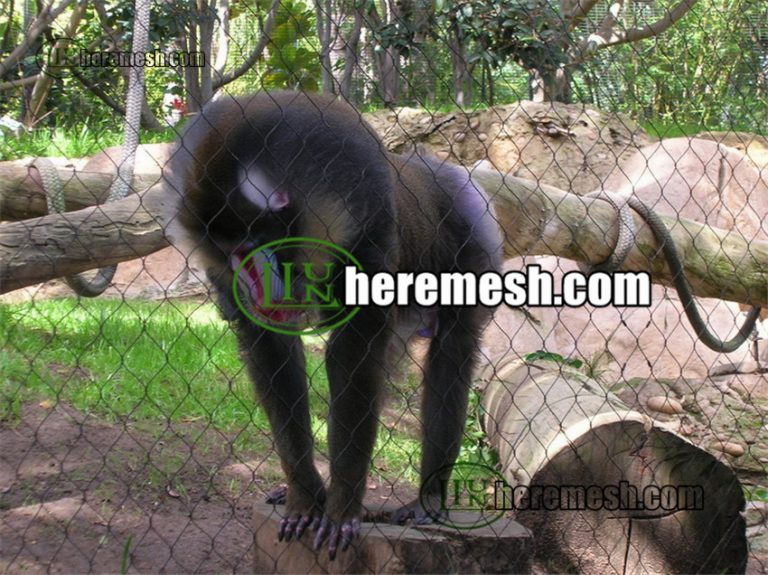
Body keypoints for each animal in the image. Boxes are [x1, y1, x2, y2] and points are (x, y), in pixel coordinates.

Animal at [166, 91, 503, 559]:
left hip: (470, 245)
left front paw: (341, 512)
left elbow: (354, 352)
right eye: (228, 252)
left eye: (254, 245)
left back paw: (428, 499)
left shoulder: (368, 219)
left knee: (451, 355)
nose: (254, 294)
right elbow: (272, 352)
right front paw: (306, 498)